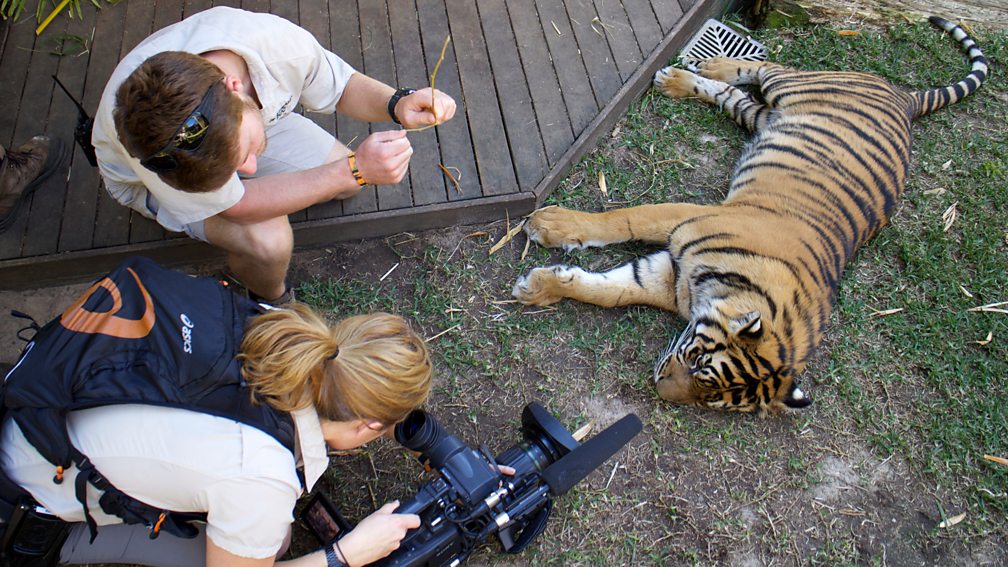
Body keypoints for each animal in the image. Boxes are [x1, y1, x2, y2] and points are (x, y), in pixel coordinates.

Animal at [511, 17, 988, 413]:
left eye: (712, 398)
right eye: (698, 361)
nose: (660, 390)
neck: (717, 291)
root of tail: (906, 98)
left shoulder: (670, 282)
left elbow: (611, 291)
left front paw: (538, 286)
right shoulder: (687, 219)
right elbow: (624, 220)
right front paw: (548, 226)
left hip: (764, 117)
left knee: (734, 97)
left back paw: (681, 80)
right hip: (791, 87)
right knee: (762, 68)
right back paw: (696, 69)